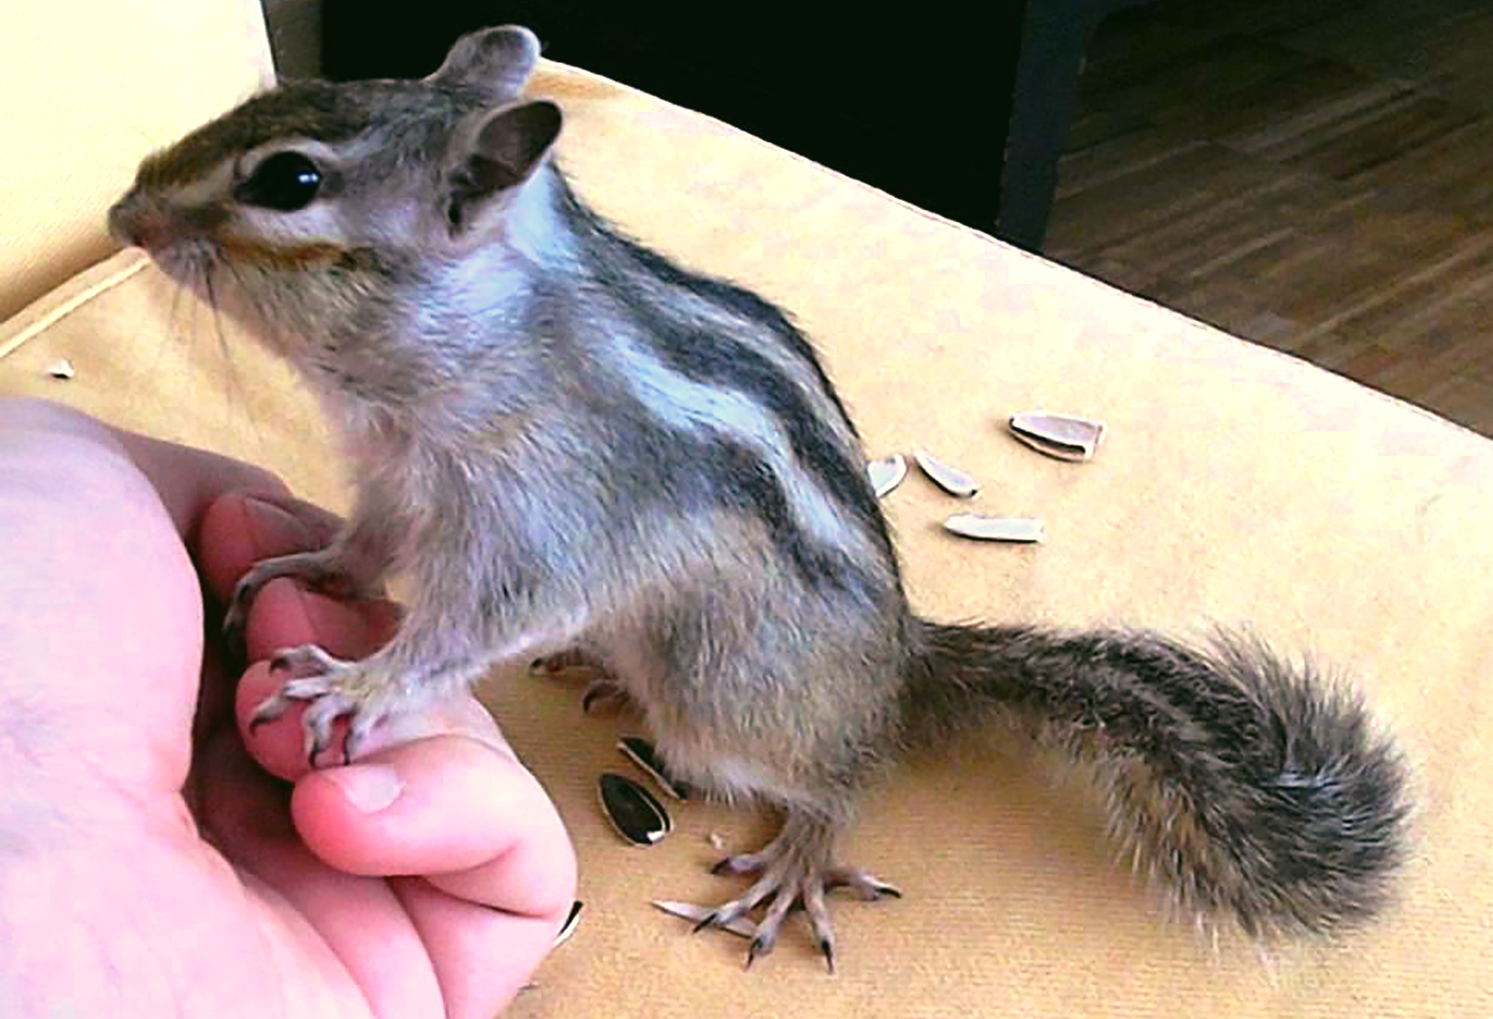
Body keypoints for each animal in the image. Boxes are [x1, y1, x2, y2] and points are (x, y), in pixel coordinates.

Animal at [108, 26, 1409, 970]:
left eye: (289, 180)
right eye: (291, 94)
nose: (126, 211)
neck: (453, 349)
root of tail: (900, 665)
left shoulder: (556, 507)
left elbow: (478, 618)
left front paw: (364, 682)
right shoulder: (393, 470)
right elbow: (369, 541)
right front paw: (306, 568)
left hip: (726, 689)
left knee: (840, 775)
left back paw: (798, 851)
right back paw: (600, 669)